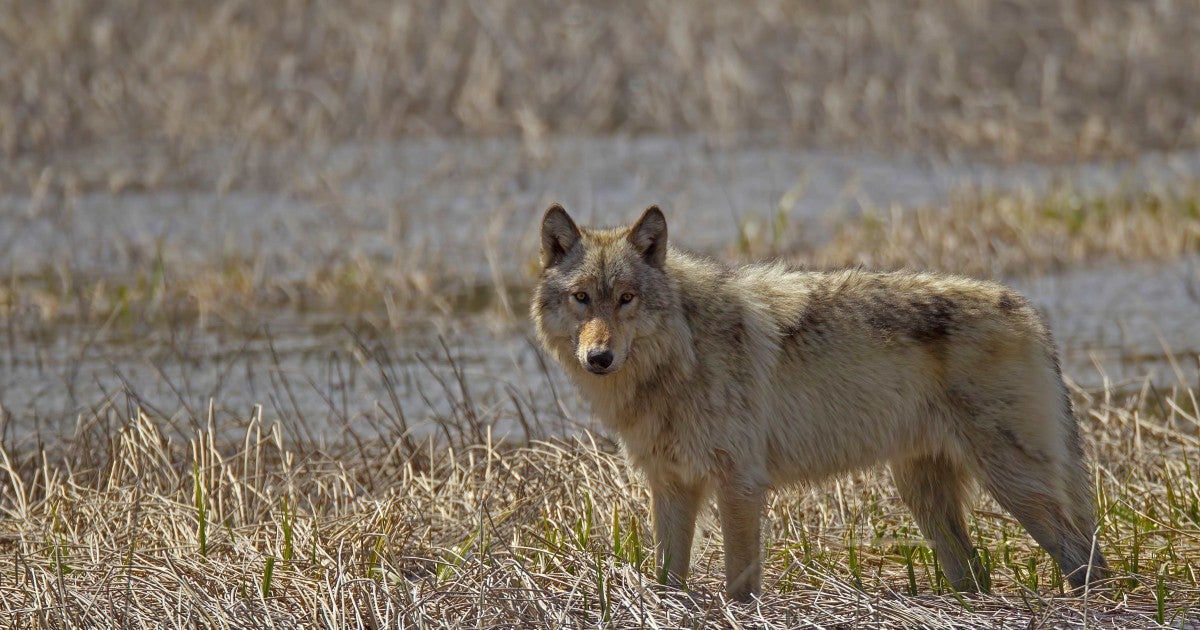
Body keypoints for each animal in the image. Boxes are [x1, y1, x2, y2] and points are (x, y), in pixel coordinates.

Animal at [531, 204, 1107, 601]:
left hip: (1013, 485)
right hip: (923, 493)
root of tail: (1030, 313)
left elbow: (740, 584)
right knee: (979, 573)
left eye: (626, 298)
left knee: (1084, 558)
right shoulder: (671, 486)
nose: (599, 357)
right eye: (582, 298)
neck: (682, 351)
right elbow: (667, 578)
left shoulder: (740, 485)